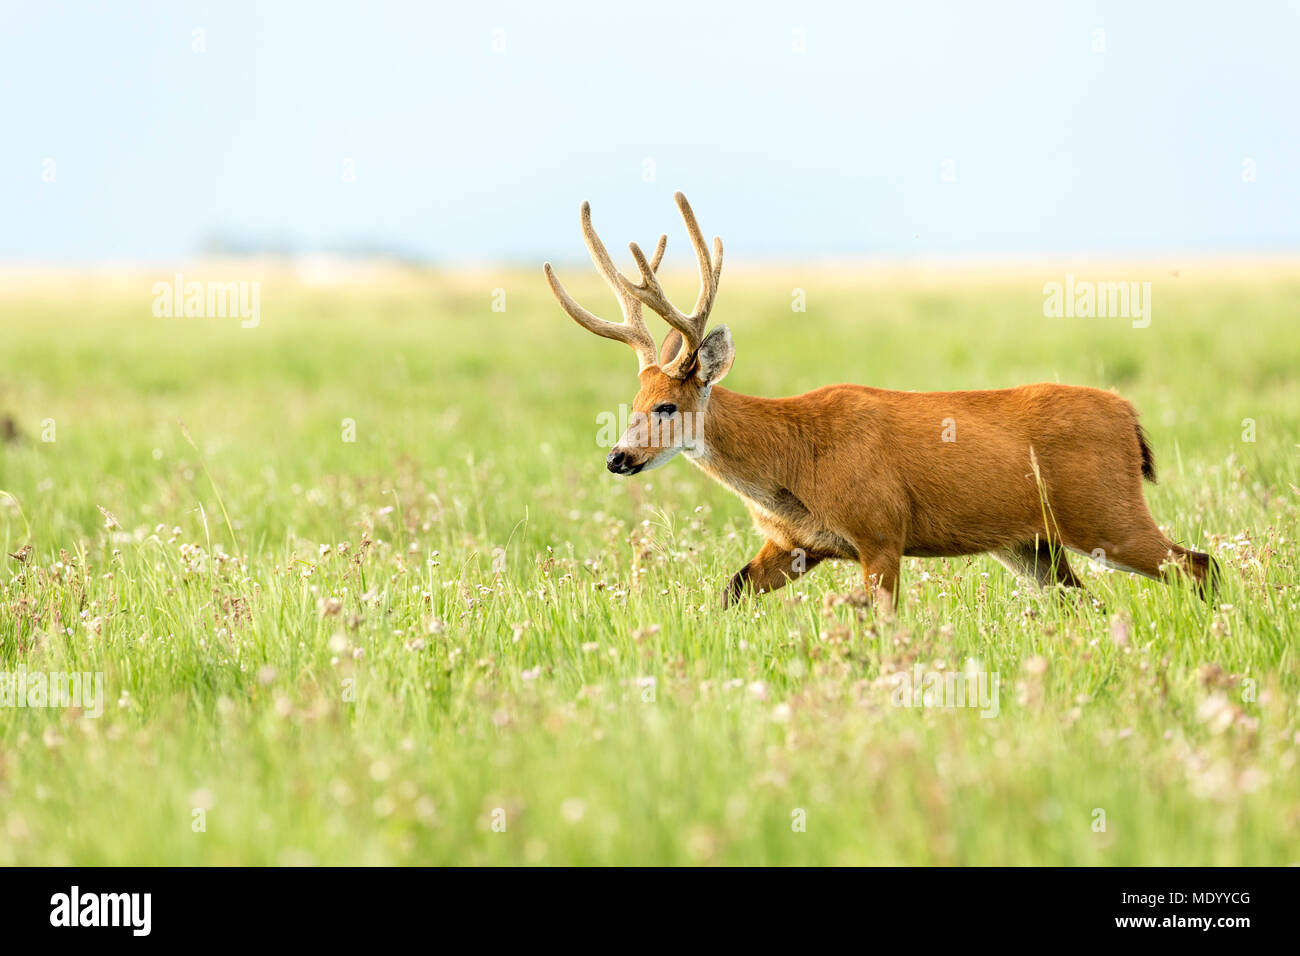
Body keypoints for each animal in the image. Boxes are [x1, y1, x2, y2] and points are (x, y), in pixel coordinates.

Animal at [543, 192, 1218, 611]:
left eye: (666, 407)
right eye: (632, 399)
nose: (617, 459)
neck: (792, 460)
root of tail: (1129, 417)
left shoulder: (881, 529)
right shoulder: (795, 545)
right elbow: (728, 593)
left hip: (1103, 510)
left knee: (1197, 563)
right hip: (1030, 544)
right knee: (1090, 603)